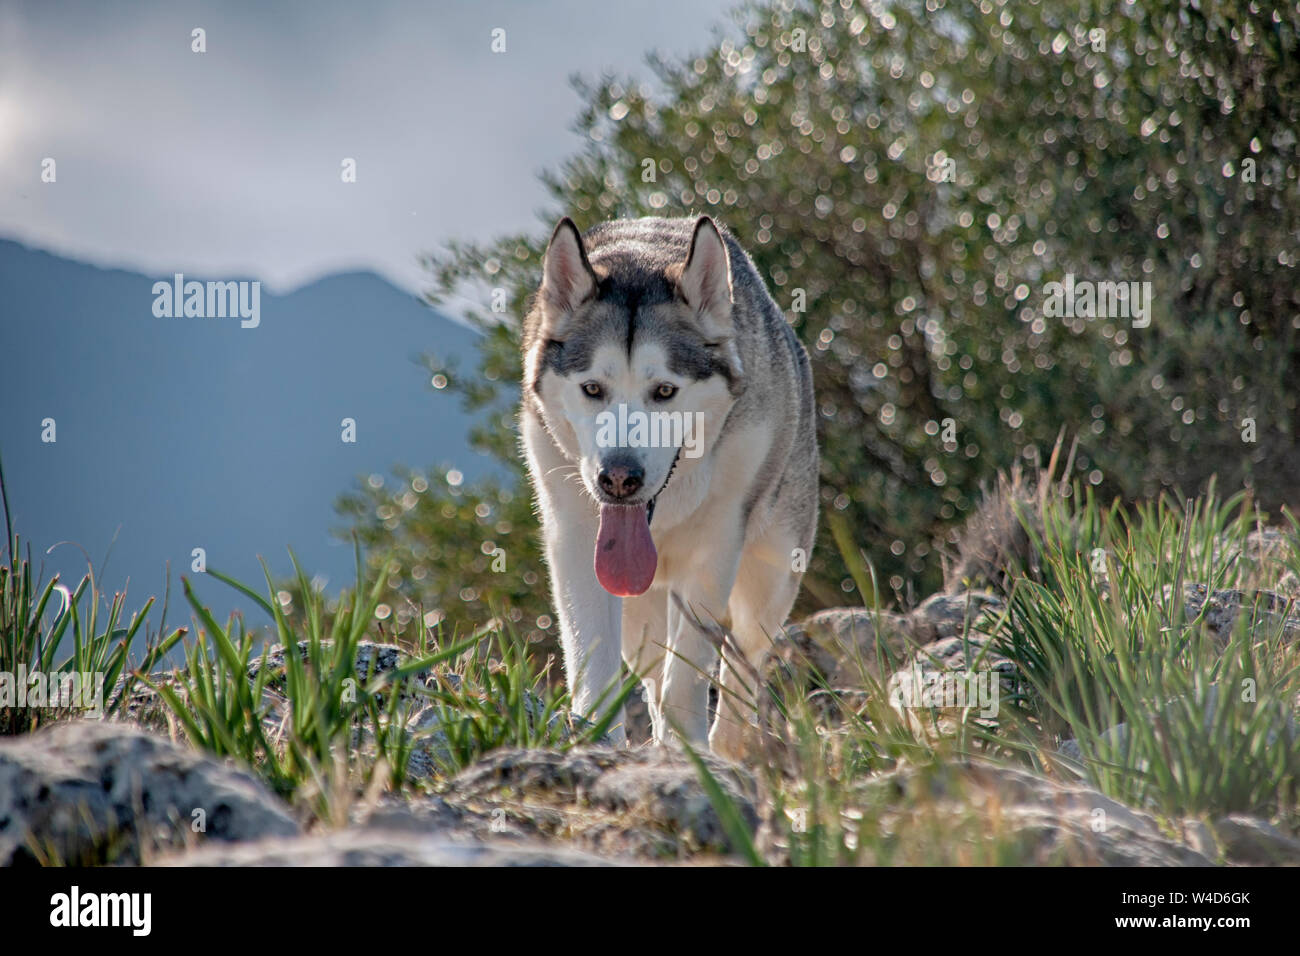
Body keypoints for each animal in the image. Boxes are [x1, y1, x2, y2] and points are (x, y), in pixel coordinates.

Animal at [520, 215, 819, 758]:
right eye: (592, 389)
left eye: (664, 392)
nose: (618, 478)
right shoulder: (574, 538)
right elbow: (595, 660)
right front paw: (599, 745)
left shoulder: (718, 546)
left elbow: (690, 672)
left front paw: (690, 754)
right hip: (641, 616)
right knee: (654, 673)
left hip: (770, 577)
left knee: (742, 664)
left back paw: (728, 746)